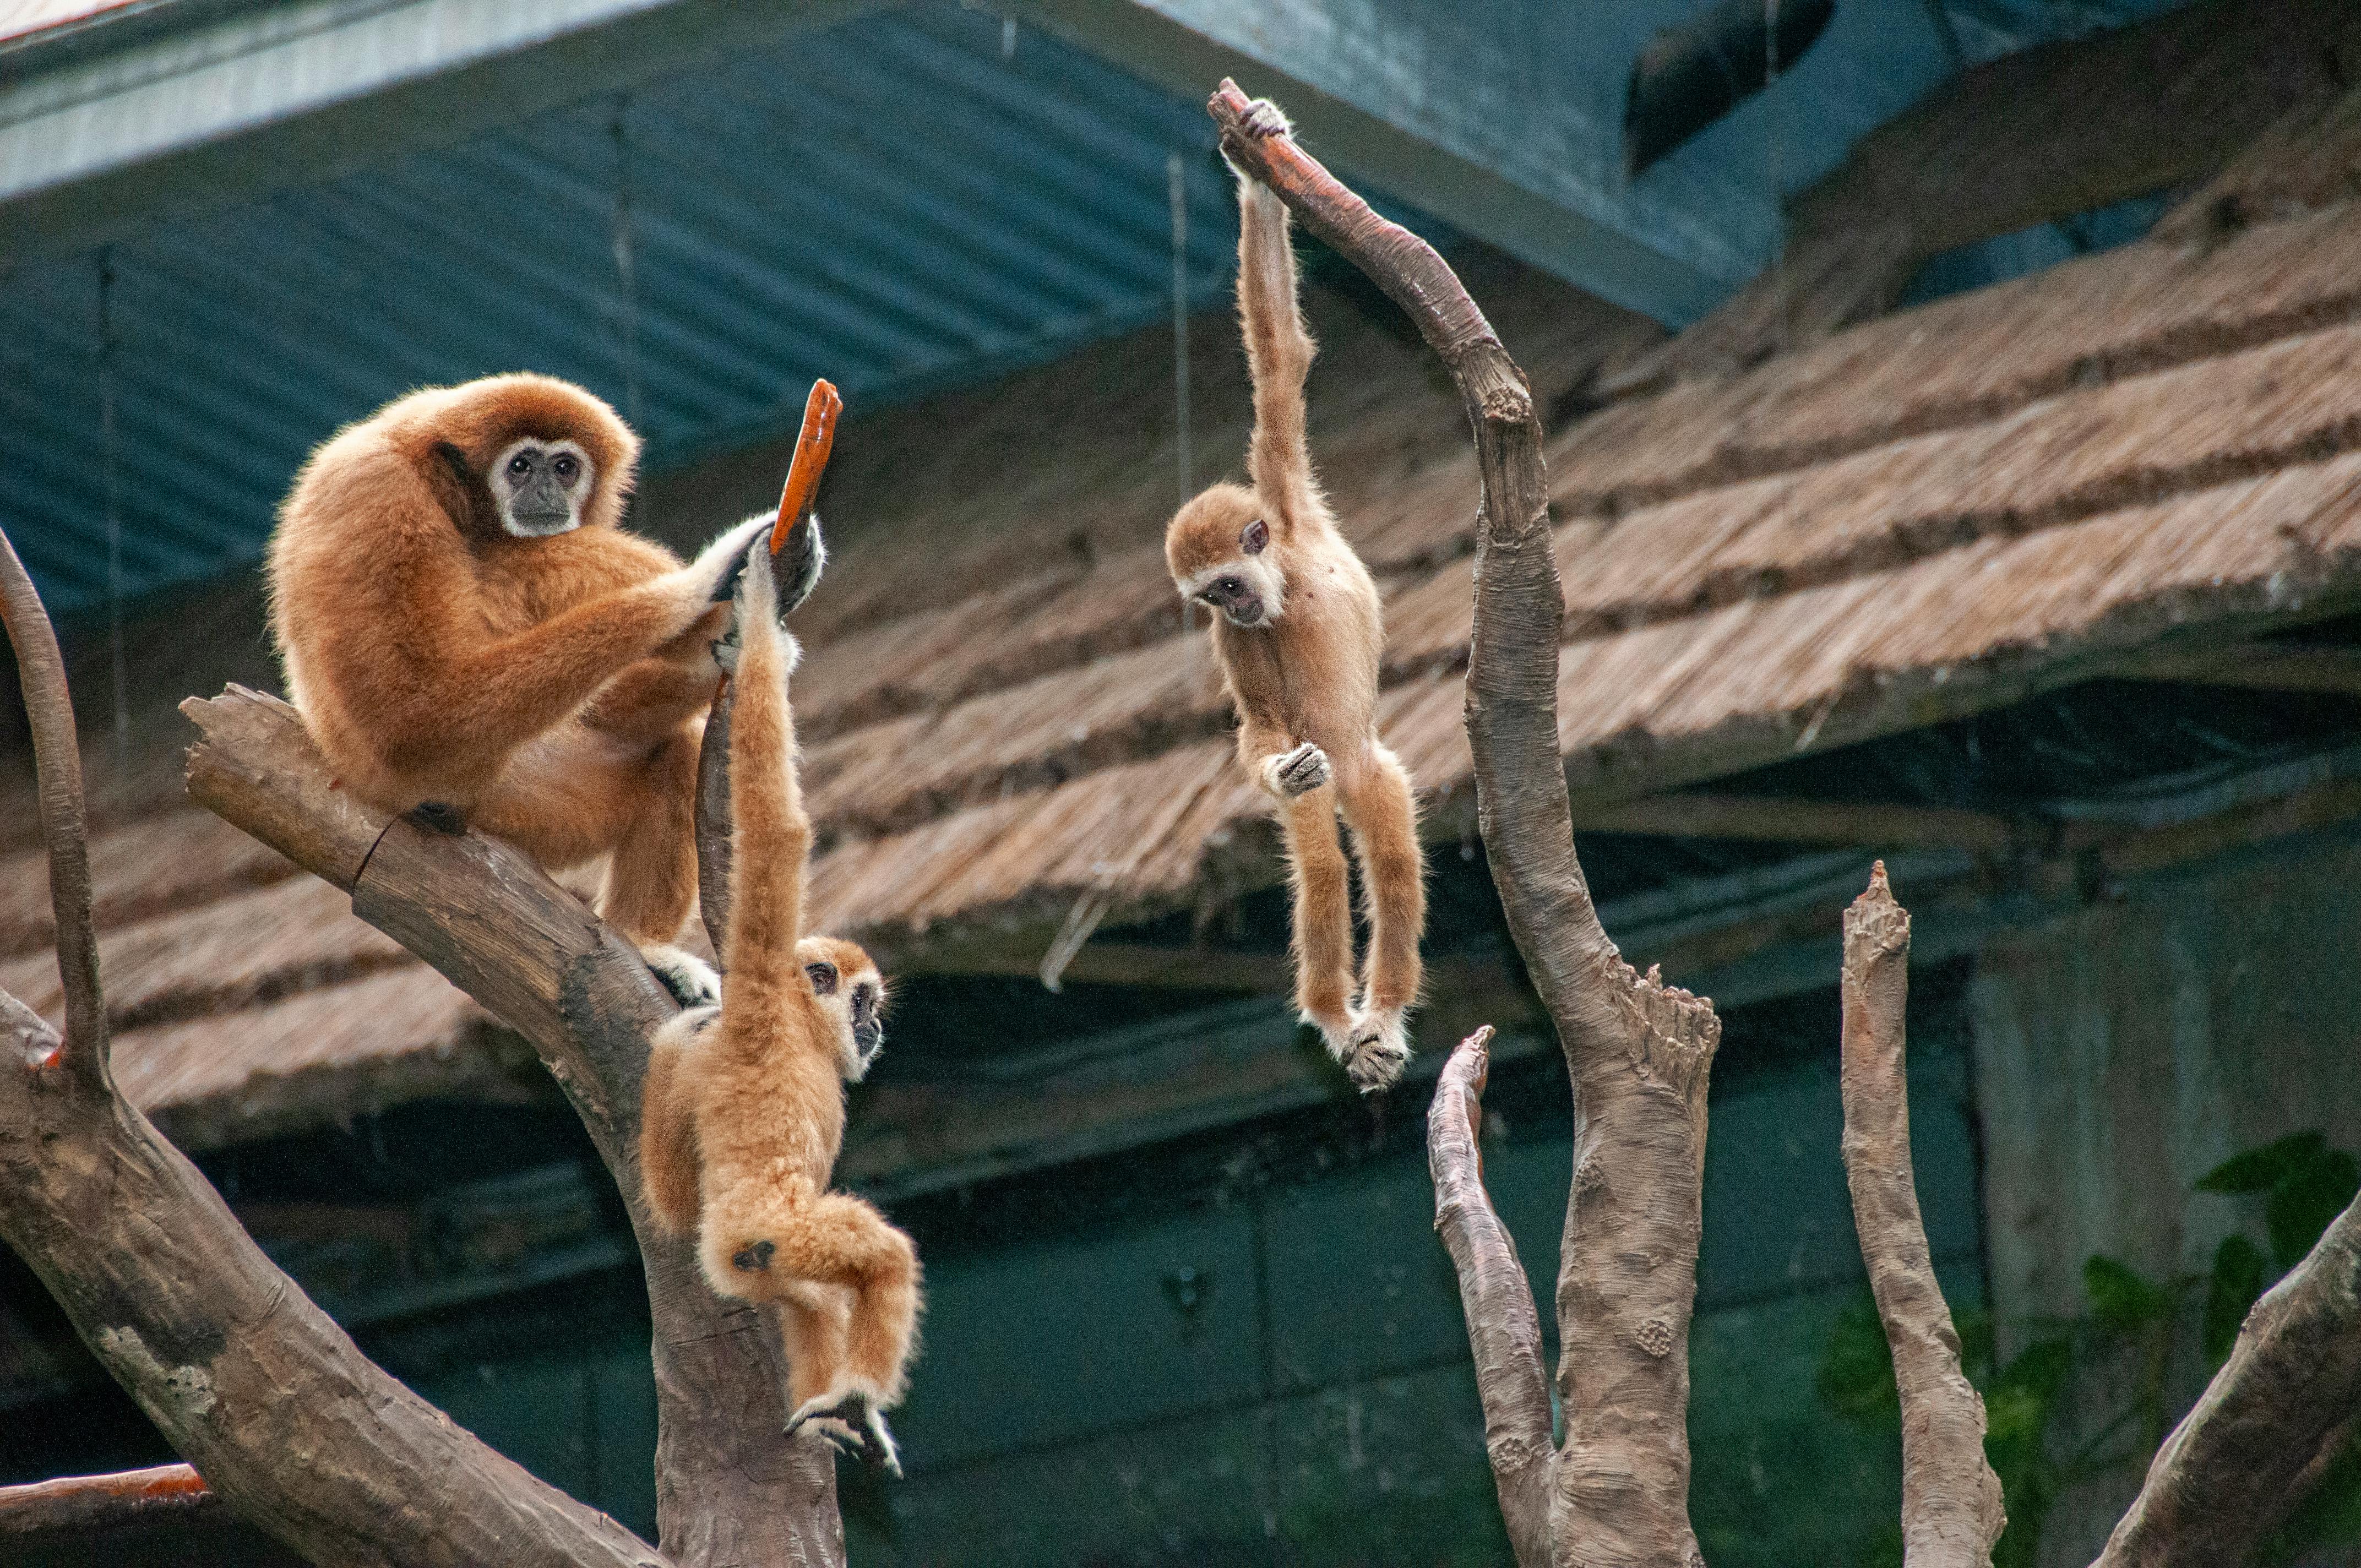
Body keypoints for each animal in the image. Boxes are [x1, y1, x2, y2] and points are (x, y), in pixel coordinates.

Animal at [267, 373, 822, 1008]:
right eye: (520, 466)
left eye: (564, 468)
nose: (544, 491)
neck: (436, 480)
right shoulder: (377, 496)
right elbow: (410, 715)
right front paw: (708, 582)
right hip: (467, 789)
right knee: (525, 562)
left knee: (672, 747)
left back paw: (645, 948)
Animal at [638, 542, 921, 1475]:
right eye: (862, 1002)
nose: (872, 1026)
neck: (795, 1020)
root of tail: (734, 1250)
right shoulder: (760, 968)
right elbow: (773, 831)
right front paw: (756, 614)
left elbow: (668, 1195)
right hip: (778, 1230)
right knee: (879, 1258)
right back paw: (860, 1396)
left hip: (758, 1255)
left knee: (807, 1298)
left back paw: (839, 1408)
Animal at [1164, 115, 1427, 1094]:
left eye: (1230, 583)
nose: (1235, 610)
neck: (1289, 576)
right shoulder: (1236, 649)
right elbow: (1261, 734)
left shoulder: (1285, 492)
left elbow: (1280, 359)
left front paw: (1255, 164)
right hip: (1324, 778)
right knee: (1317, 858)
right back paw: (1338, 1018)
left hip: (1365, 768)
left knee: (1387, 850)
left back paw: (1382, 1012)